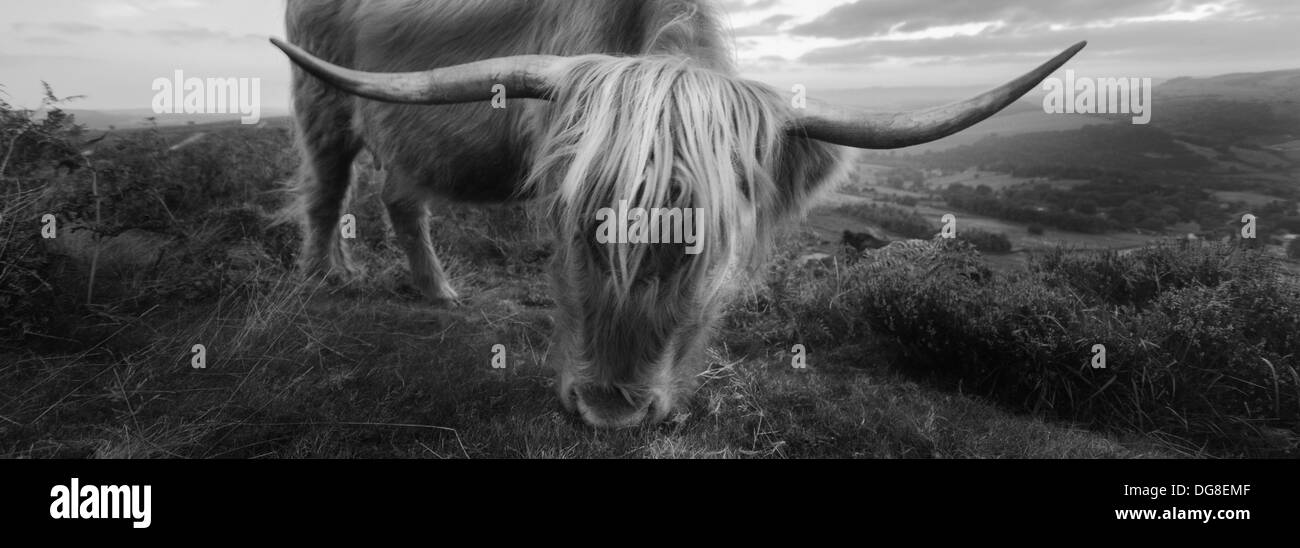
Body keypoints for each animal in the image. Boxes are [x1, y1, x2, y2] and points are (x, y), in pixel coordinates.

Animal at [274, 0, 1084, 428]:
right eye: (570, 231)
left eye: (707, 248)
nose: (610, 411)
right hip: (322, 97)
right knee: (326, 183)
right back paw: (322, 278)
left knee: (397, 196)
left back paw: (433, 290)